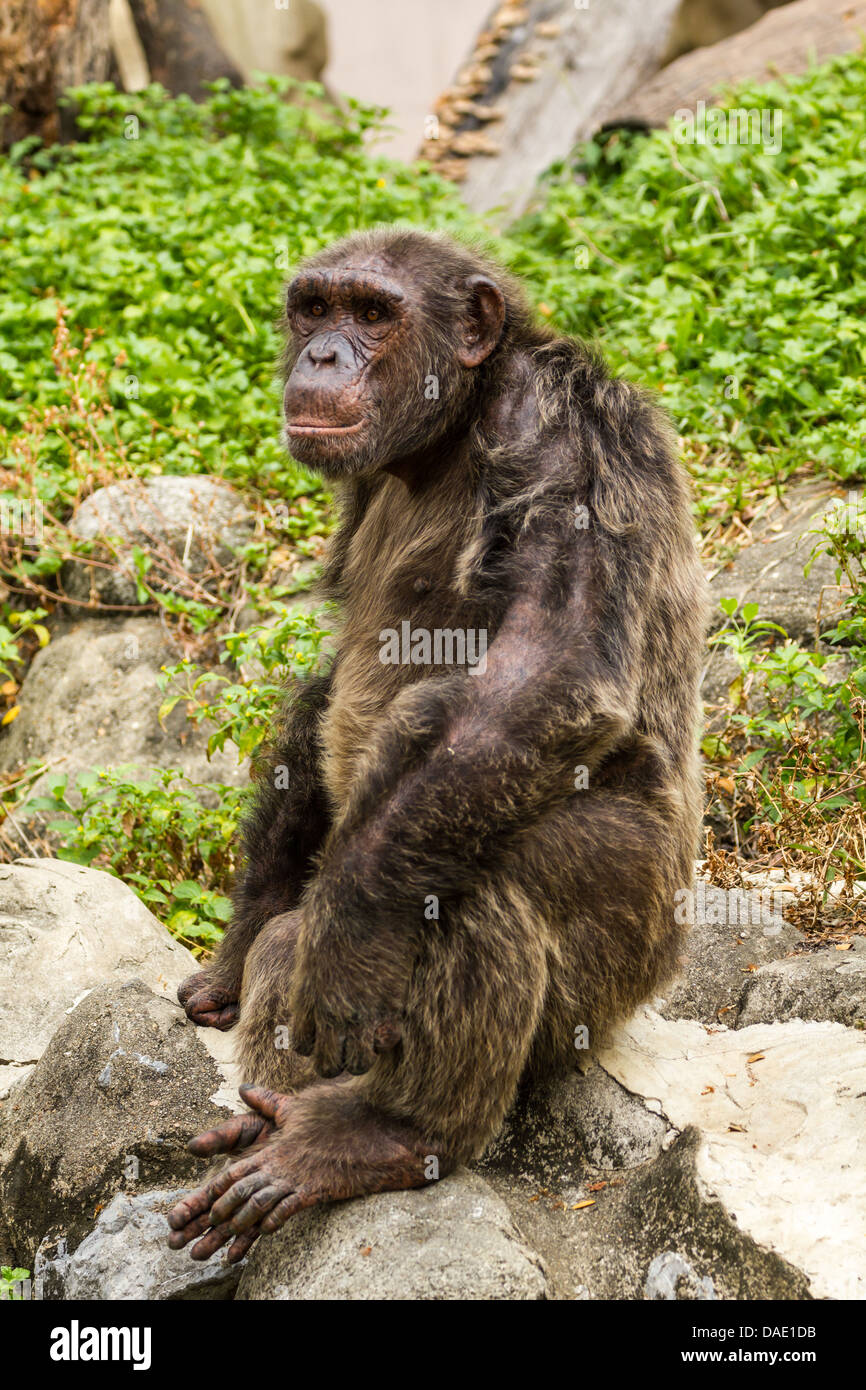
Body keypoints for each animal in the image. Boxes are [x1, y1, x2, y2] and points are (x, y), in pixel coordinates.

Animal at [168, 227, 707, 1263]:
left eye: (374, 314)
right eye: (315, 306)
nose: (322, 355)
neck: (447, 432)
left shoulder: (562, 433)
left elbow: (548, 666)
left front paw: (340, 956)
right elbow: (329, 689)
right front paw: (238, 943)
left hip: (626, 956)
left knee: (470, 874)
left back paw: (385, 1134)